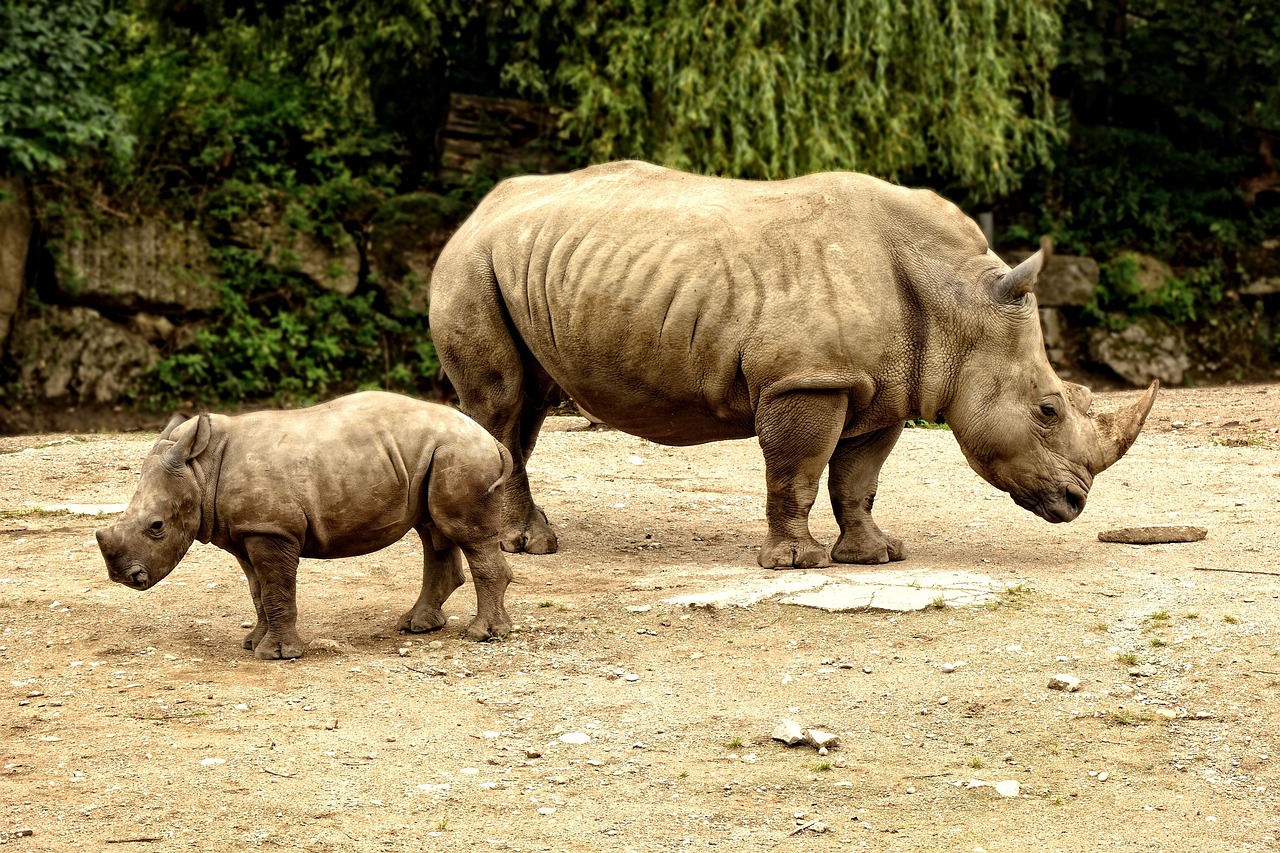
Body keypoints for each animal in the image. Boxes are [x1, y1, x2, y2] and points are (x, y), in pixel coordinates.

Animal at [95, 391, 515, 659]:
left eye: (157, 526)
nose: (123, 577)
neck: (200, 468)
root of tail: (491, 439)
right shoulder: (246, 529)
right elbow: (258, 591)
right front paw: (253, 644)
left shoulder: (271, 529)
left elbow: (276, 588)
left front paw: (278, 655)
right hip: (437, 454)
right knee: (433, 530)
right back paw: (416, 626)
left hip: (459, 452)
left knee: (465, 535)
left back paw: (483, 634)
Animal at [429, 161, 1157, 569]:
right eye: (1047, 409)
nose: (1076, 502)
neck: (958, 300)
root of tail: (477, 210)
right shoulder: (807, 379)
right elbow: (799, 470)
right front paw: (796, 563)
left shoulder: (882, 386)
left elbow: (858, 479)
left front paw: (876, 555)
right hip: (472, 266)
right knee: (503, 401)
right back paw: (521, 547)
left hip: (523, 264)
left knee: (529, 406)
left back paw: (530, 540)